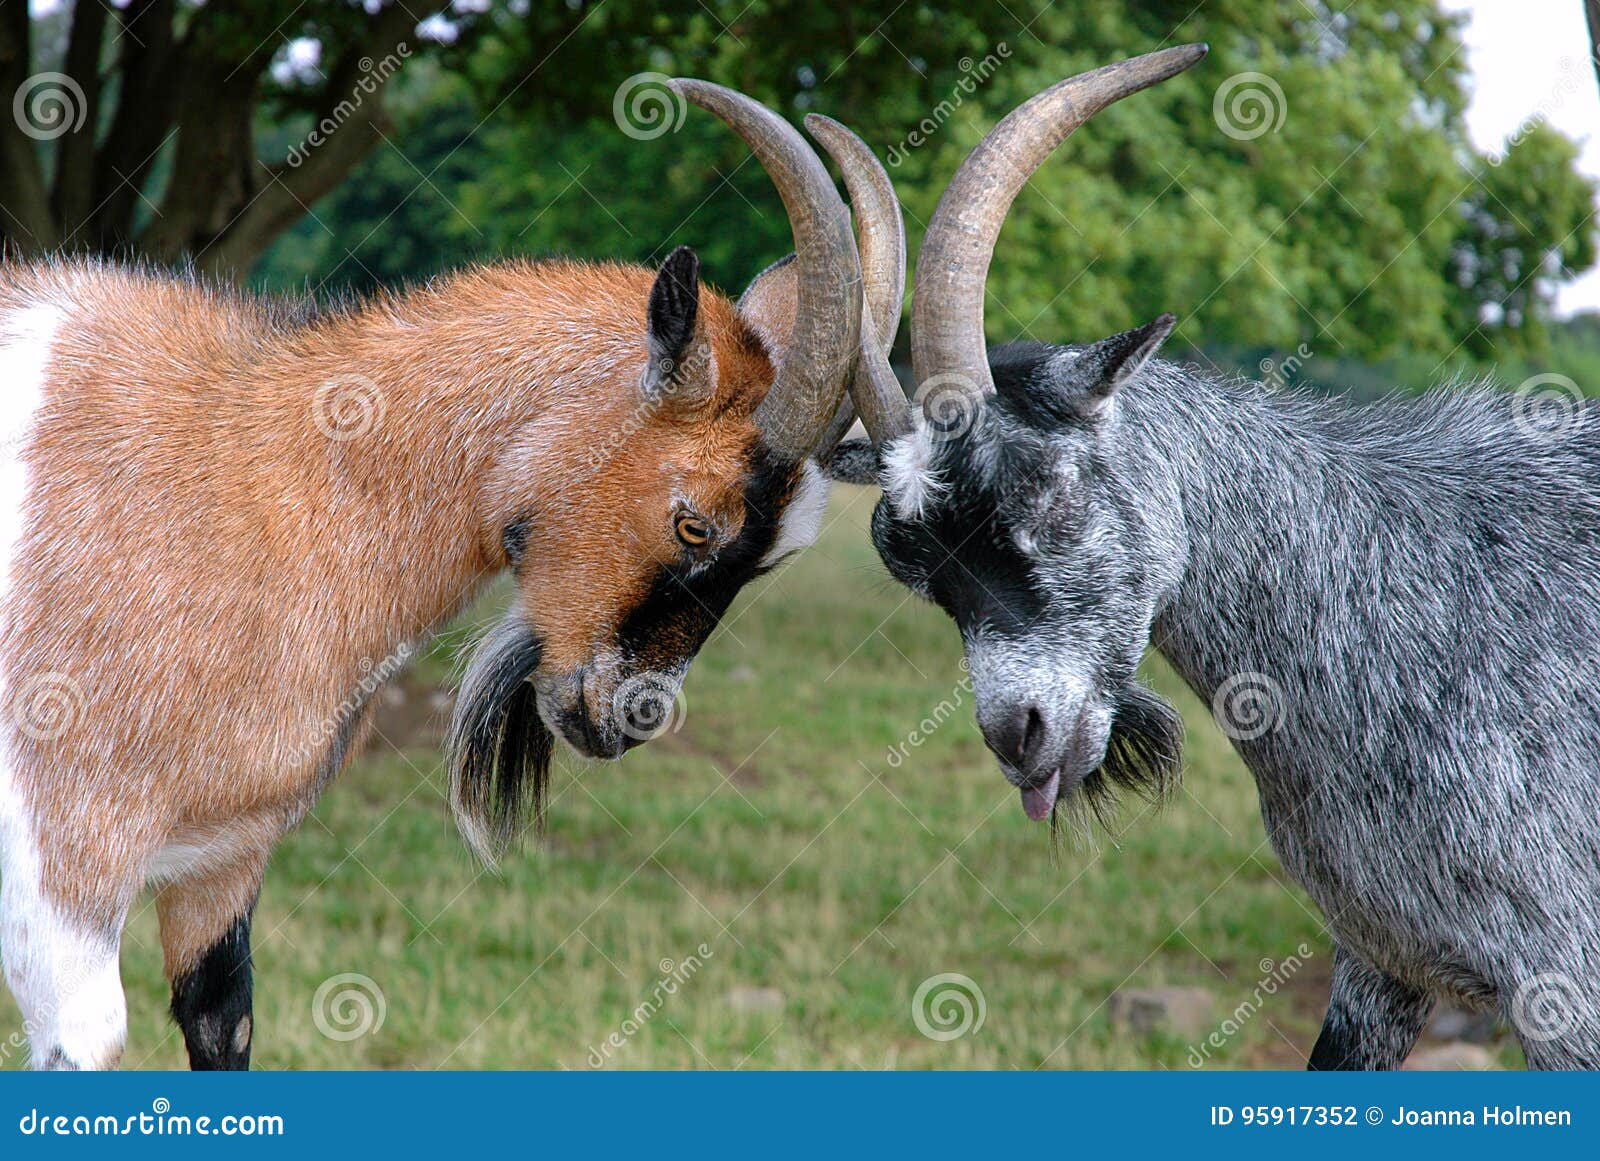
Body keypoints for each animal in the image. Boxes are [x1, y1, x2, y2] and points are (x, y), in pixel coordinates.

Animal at [0, 85, 907, 1070]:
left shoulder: (219, 863)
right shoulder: (63, 872)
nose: (628, 718)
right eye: (695, 521)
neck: (256, 467)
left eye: (774, 557)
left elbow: (223, 1020)